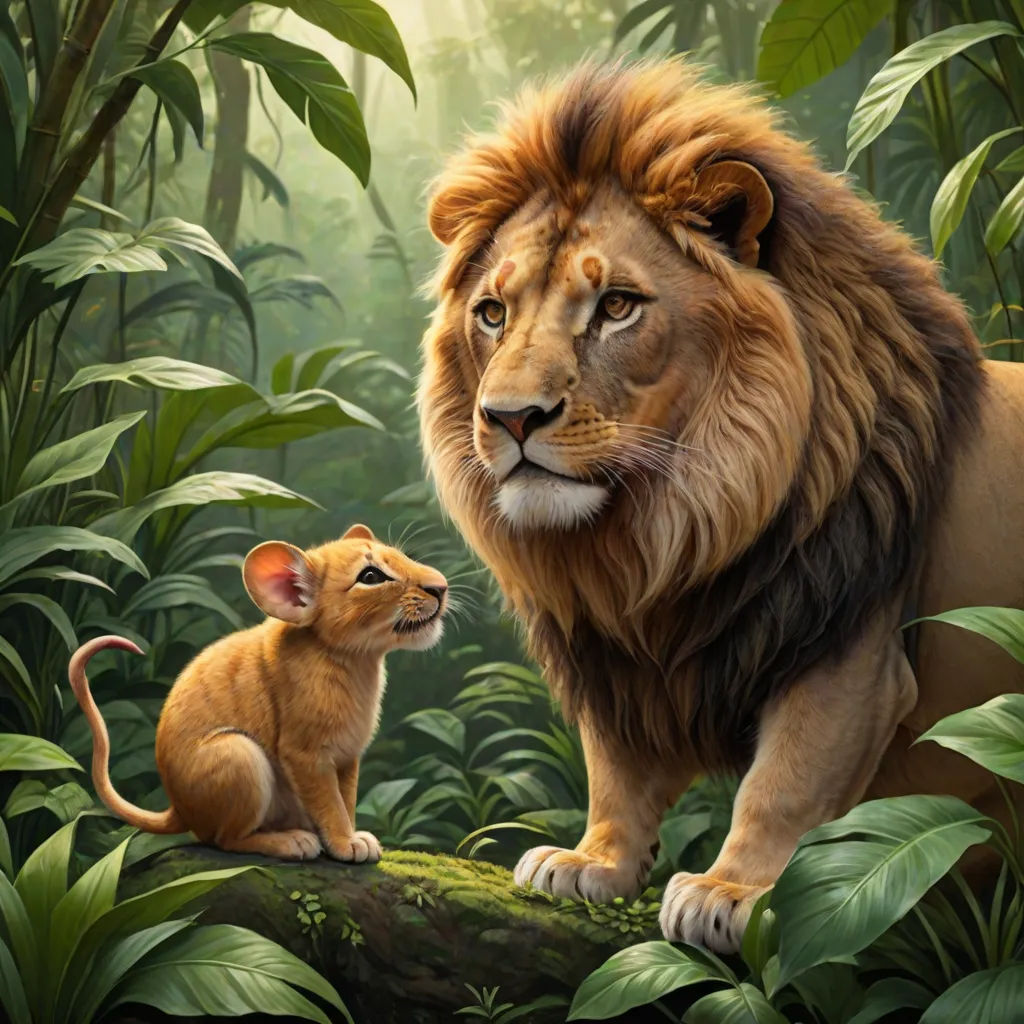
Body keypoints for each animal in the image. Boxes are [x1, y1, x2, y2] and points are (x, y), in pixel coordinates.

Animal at [417, 59, 1024, 953]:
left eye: (616, 306)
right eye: (492, 314)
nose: (510, 417)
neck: (672, 528)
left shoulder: (848, 644)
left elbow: (787, 777)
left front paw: (731, 894)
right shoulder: (619, 658)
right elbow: (616, 767)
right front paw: (592, 861)